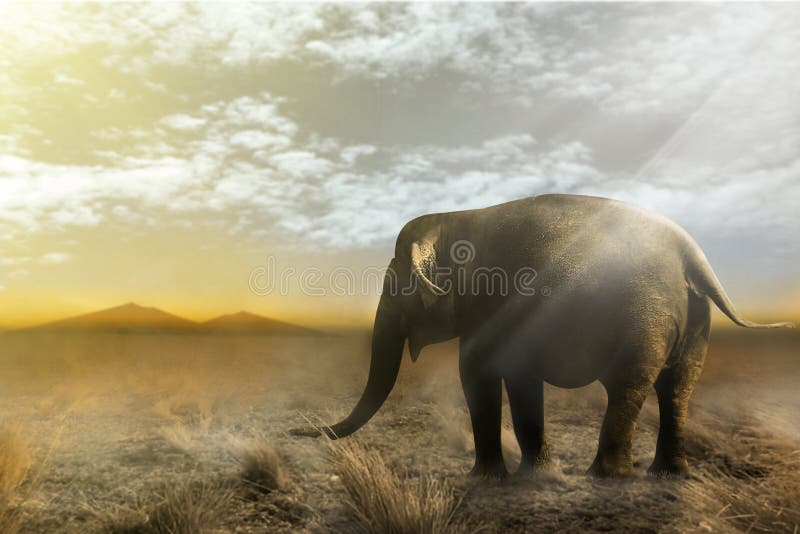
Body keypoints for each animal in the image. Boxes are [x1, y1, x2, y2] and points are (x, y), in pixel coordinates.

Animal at [291, 194, 793, 478]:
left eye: (395, 283)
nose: (296, 432)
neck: (455, 218)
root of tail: (692, 254)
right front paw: (532, 477)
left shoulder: (493, 307)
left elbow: (484, 377)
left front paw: (495, 480)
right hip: (694, 316)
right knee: (677, 389)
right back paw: (667, 476)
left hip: (643, 315)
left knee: (628, 386)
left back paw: (607, 478)